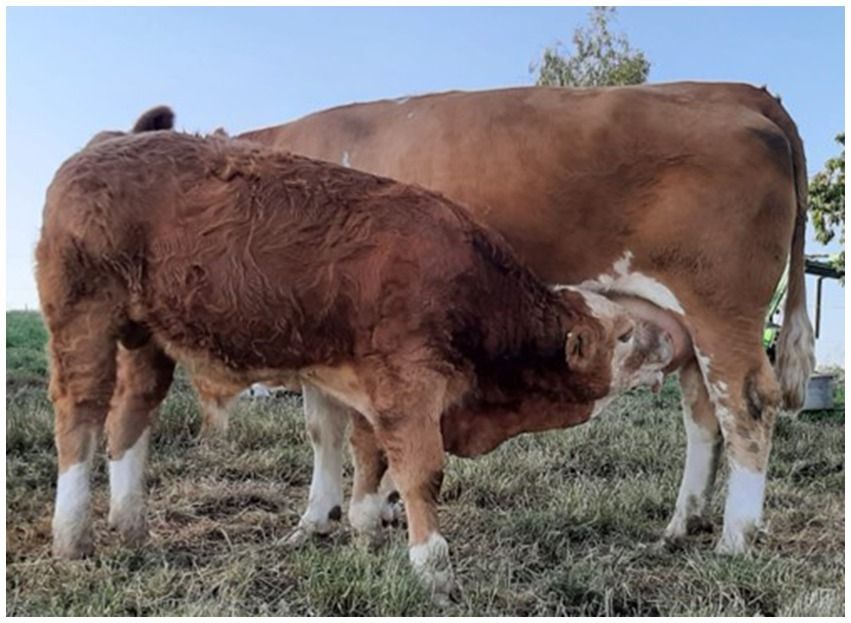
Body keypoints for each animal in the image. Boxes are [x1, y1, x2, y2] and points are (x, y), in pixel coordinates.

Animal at [36, 116, 674, 601]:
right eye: (624, 335)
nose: (669, 339)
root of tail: (105, 143)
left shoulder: (367, 386)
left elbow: (369, 455)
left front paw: (365, 528)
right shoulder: (407, 382)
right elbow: (420, 472)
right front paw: (432, 567)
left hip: (148, 340)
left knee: (130, 417)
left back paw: (131, 523)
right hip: (83, 318)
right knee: (81, 416)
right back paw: (72, 535)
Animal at [188, 81, 812, 557]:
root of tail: (732, 92)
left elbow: (335, 431)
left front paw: (333, 519)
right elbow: (331, 430)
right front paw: (347, 514)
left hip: (722, 311)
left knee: (748, 408)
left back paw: (735, 539)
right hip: (685, 324)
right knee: (705, 416)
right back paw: (682, 525)